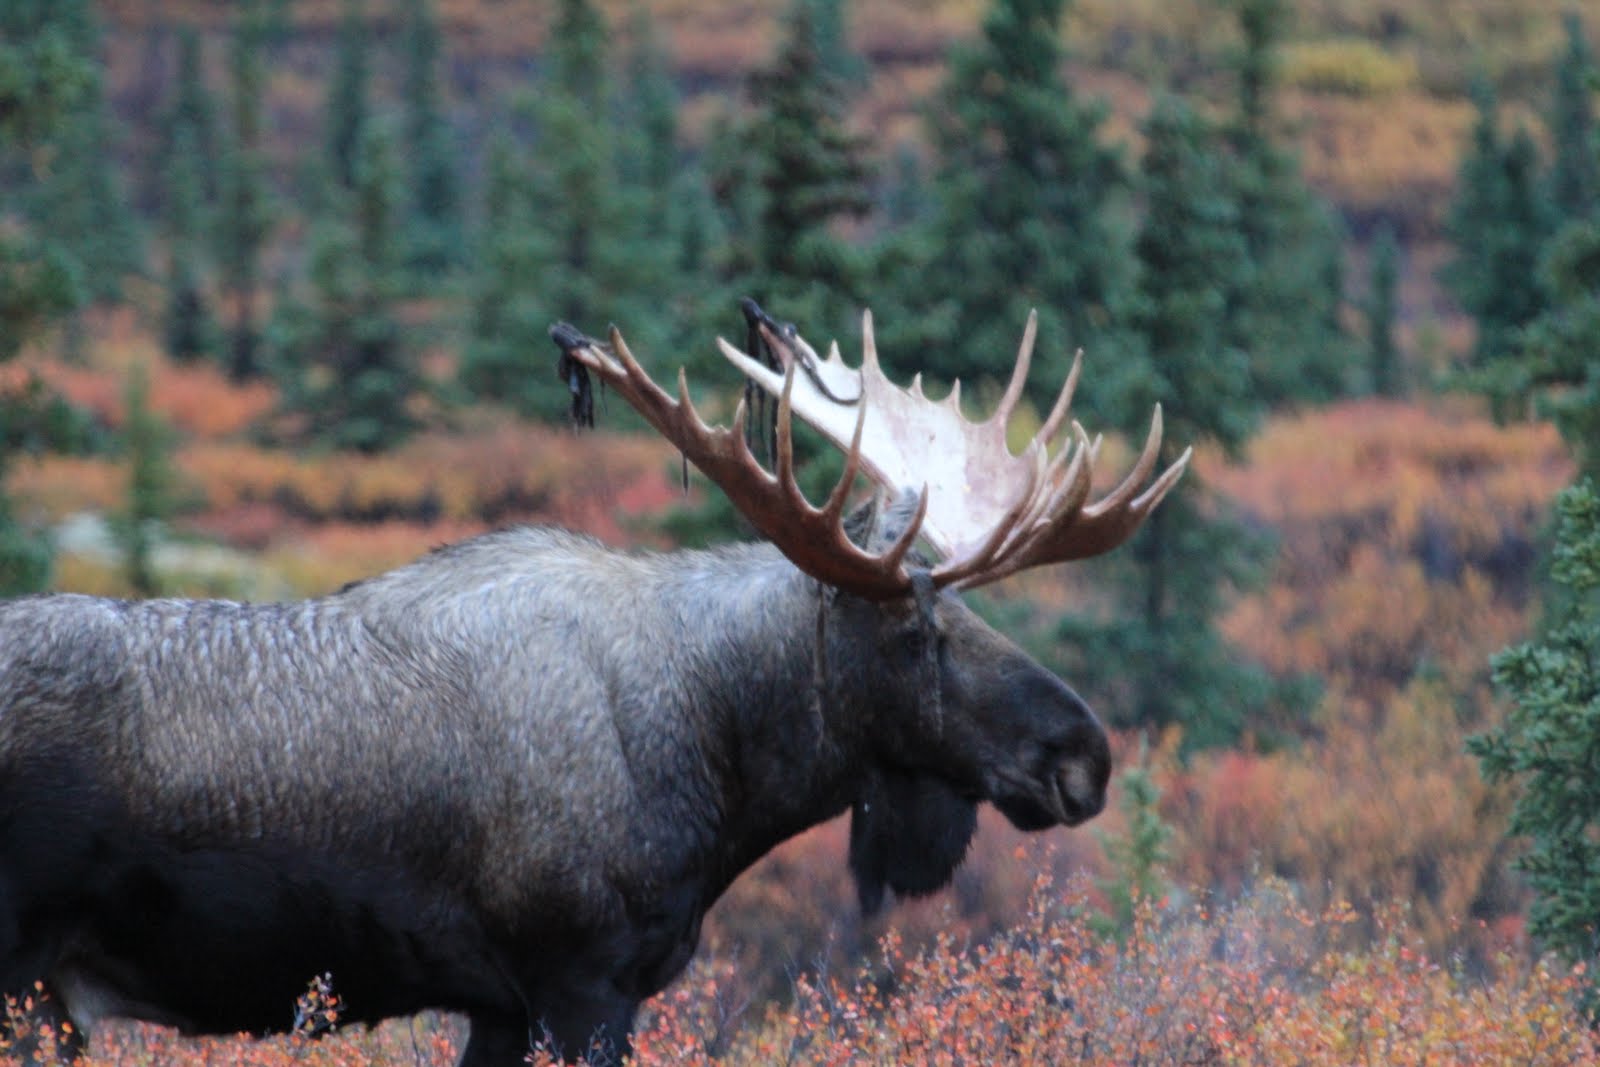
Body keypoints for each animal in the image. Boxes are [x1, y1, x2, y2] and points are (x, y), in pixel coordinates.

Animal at [0, 305, 1187, 1065]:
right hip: (25, 979)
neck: (723, 760)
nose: (1081, 753)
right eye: (909, 628)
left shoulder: (498, 1001)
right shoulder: (582, 980)